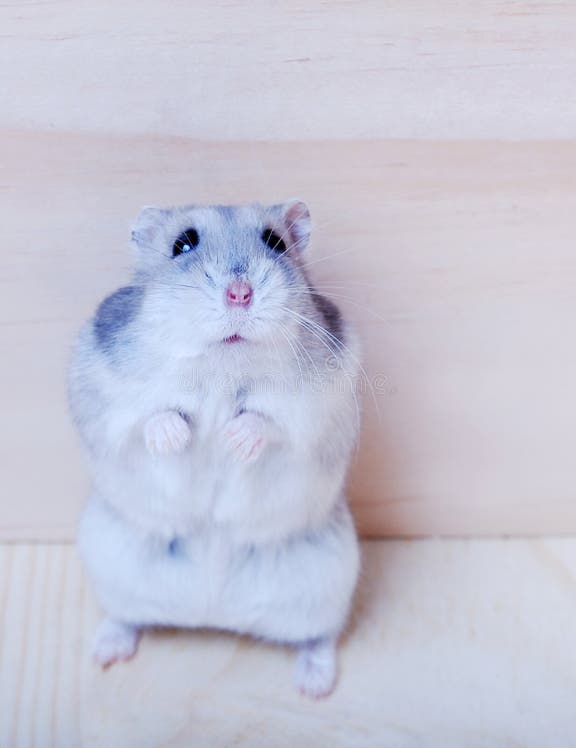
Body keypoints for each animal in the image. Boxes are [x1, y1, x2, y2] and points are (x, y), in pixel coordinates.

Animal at [69, 200, 361, 698]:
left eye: (275, 242)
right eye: (182, 244)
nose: (240, 294)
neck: (224, 363)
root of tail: (213, 609)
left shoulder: (317, 408)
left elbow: (271, 421)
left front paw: (233, 439)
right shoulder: (110, 399)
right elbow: (147, 418)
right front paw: (177, 436)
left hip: (329, 580)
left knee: (319, 636)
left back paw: (314, 685)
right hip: (111, 559)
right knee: (125, 616)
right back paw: (106, 653)